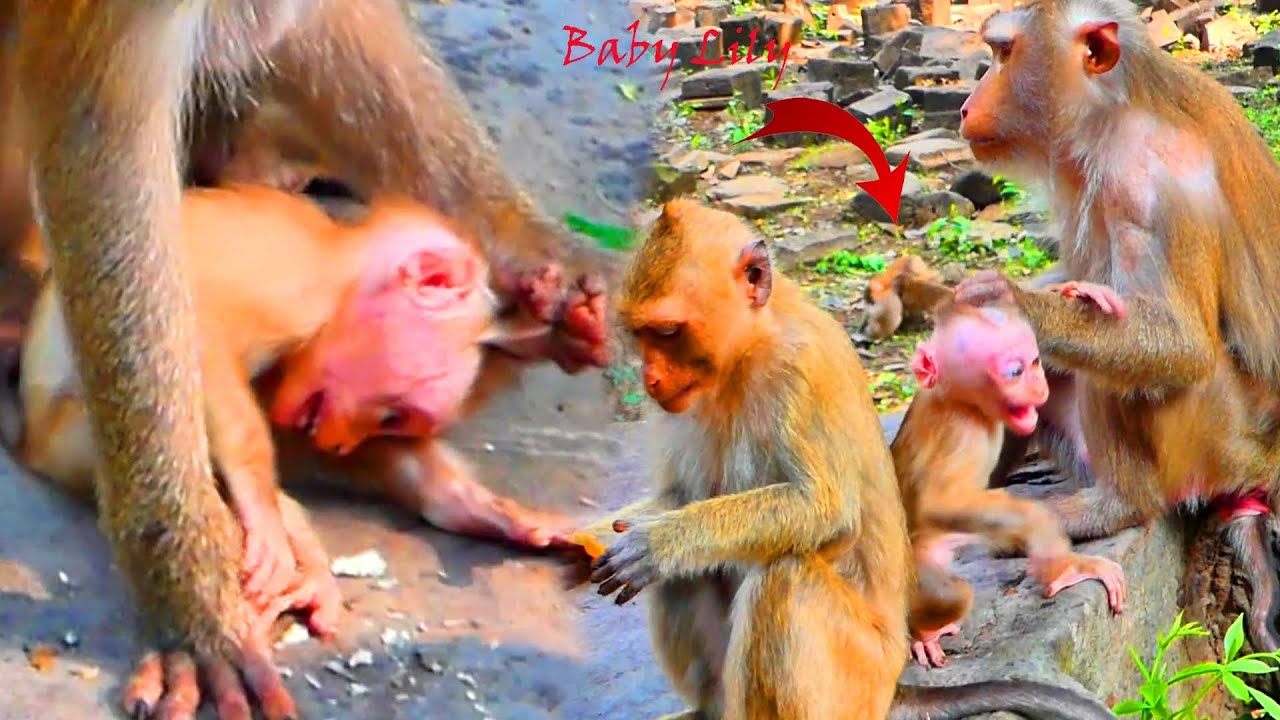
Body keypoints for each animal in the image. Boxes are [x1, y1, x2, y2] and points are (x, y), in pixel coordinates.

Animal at [894, 298, 1126, 669]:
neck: (963, 401)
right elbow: (939, 502)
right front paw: (1062, 558)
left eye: (1034, 363)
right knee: (954, 592)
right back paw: (925, 633)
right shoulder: (962, 430)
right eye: (1014, 372)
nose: (1039, 386)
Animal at [954, 0, 1280, 653]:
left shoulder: (1147, 181)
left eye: (1003, 53)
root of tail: (1266, 469)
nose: (966, 104)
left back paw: (1112, 508)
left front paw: (1010, 304)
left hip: (1217, 445)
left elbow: (1180, 345)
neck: (1114, 109)